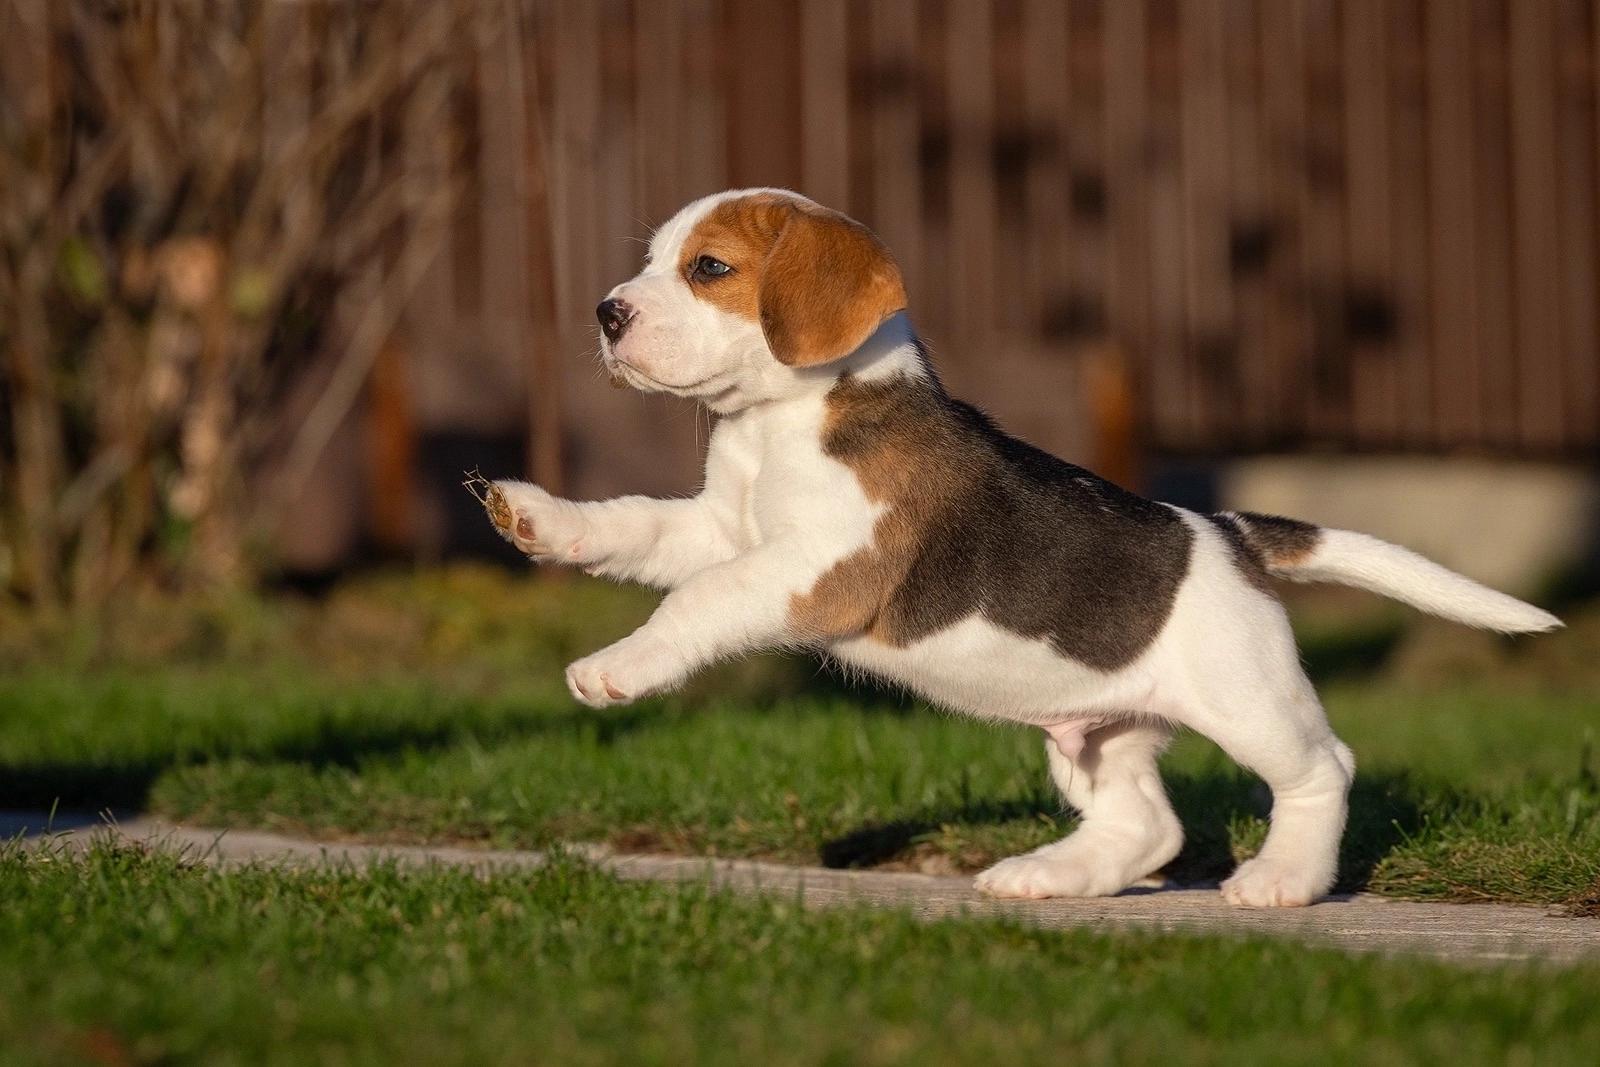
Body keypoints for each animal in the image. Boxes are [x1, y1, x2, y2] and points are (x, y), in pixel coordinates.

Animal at [476, 187, 1561, 908]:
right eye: (655, 261)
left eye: (709, 269)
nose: (607, 312)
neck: (784, 416)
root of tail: (1231, 532)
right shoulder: (714, 528)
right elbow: (631, 523)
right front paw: (538, 516)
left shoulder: (809, 568)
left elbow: (697, 600)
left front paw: (614, 668)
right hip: (1097, 729)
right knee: (1147, 824)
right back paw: (1051, 873)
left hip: (1248, 701)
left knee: (1321, 767)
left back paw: (1281, 878)